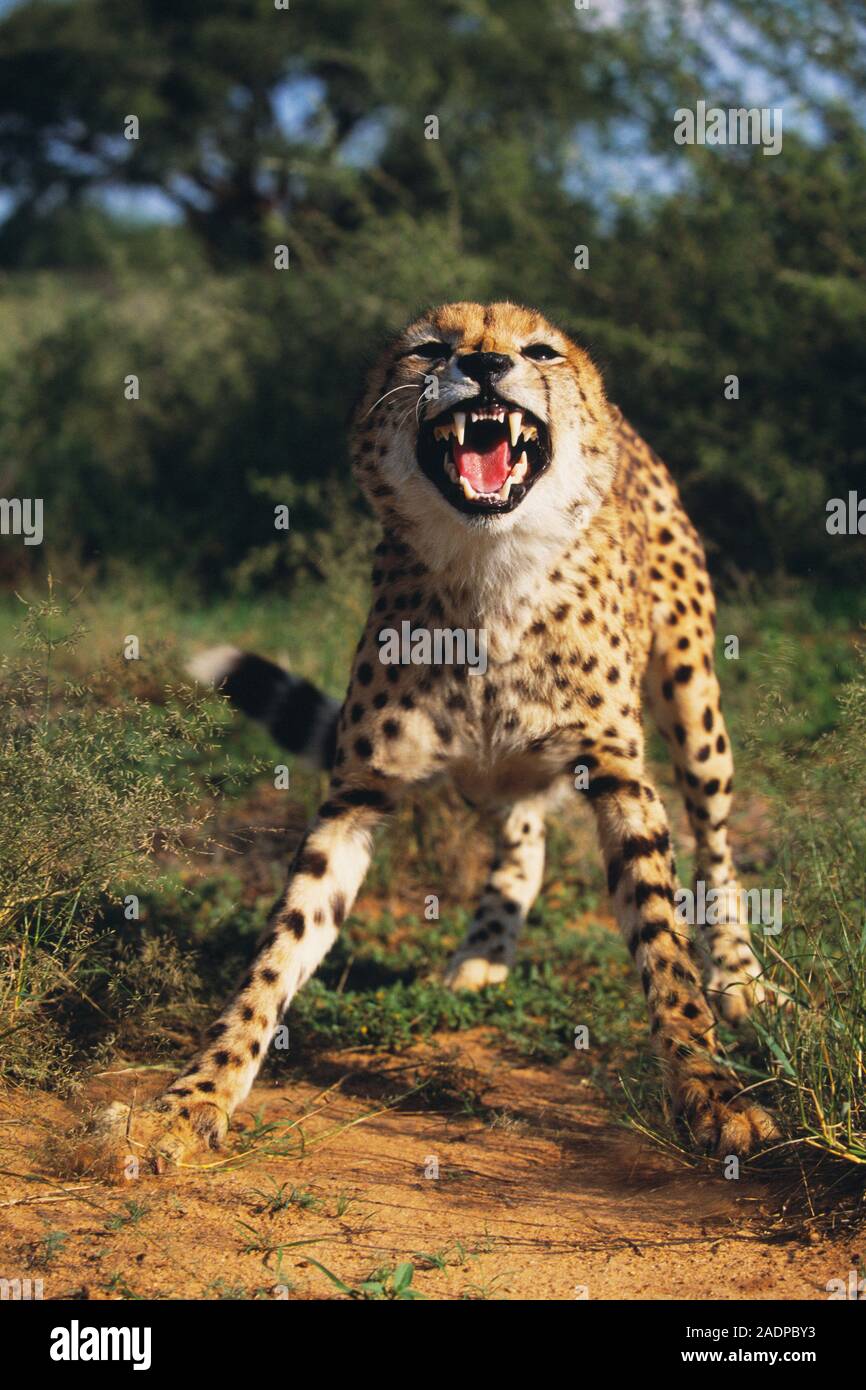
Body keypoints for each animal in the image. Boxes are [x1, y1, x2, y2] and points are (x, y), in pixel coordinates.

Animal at [86, 300, 780, 1175]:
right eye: (429, 349)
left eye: (538, 350)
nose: (484, 365)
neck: (489, 575)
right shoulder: (357, 793)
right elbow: (279, 952)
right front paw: (191, 1101)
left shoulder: (621, 775)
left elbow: (664, 946)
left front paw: (712, 1093)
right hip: (484, 773)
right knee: (523, 834)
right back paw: (486, 947)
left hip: (692, 699)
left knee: (715, 843)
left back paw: (741, 976)